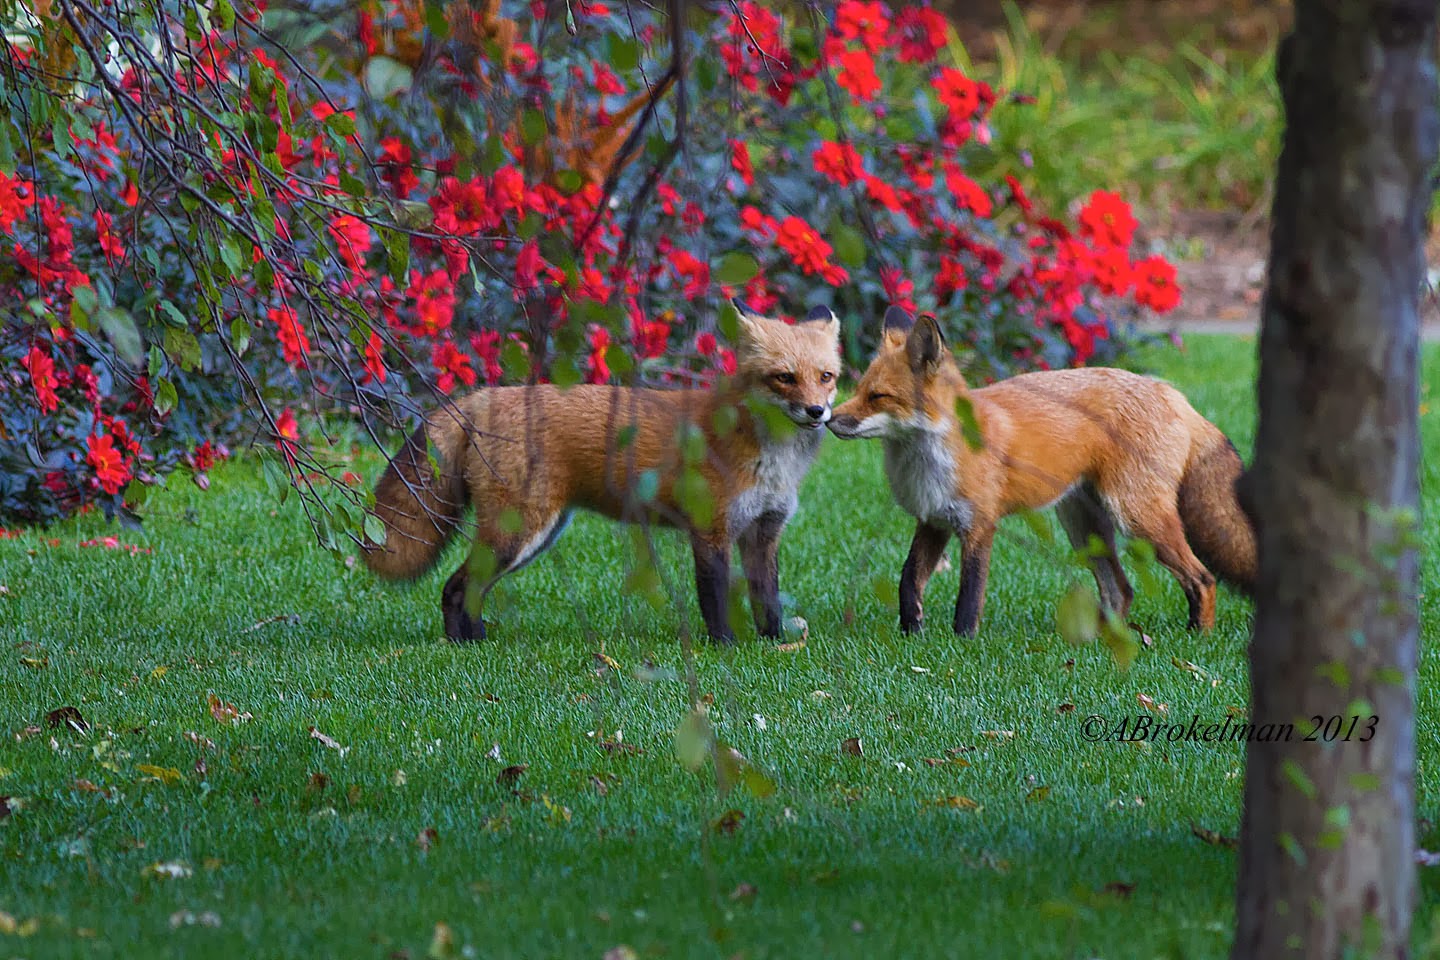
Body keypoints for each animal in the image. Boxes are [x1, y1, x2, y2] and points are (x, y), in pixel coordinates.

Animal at [362, 301, 841, 644]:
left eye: (826, 377)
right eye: (784, 377)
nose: (817, 412)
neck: (771, 460)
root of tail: (482, 396)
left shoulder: (763, 532)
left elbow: (768, 599)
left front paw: (774, 644)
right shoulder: (710, 531)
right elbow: (715, 598)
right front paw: (725, 646)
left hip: (536, 537)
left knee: (470, 588)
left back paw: (476, 639)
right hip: (517, 534)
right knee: (456, 587)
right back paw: (464, 646)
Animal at [827, 307, 1256, 636]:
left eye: (878, 397)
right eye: (857, 389)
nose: (828, 419)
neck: (929, 458)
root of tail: (1170, 392)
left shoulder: (979, 524)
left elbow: (970, 593)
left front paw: (963, 641)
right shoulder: (933, 520)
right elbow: (908, 579)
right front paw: (910, 634)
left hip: (1136, 519)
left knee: (1202, 579)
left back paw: (1197, 636)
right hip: (1083, 527)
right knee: (1121, 590)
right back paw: (1102, 640)